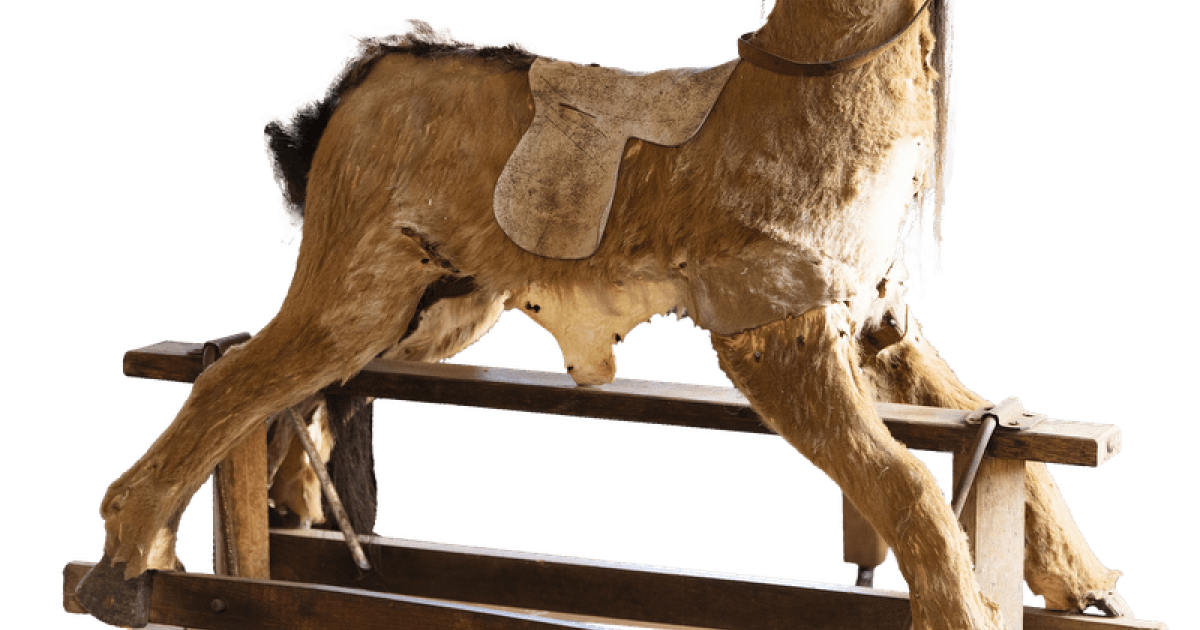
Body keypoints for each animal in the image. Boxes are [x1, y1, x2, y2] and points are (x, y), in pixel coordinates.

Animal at [77, 2, 1123, 628]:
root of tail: (369, 73)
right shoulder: (769, 329)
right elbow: (906, 481)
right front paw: (961, 610)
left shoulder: (868, 316)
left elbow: (1000, 433)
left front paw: (1092, 594)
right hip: (357, 288)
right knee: (231, 379)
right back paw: (130, 559)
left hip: (436, 302)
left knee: (298, 402)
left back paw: (278, 536)